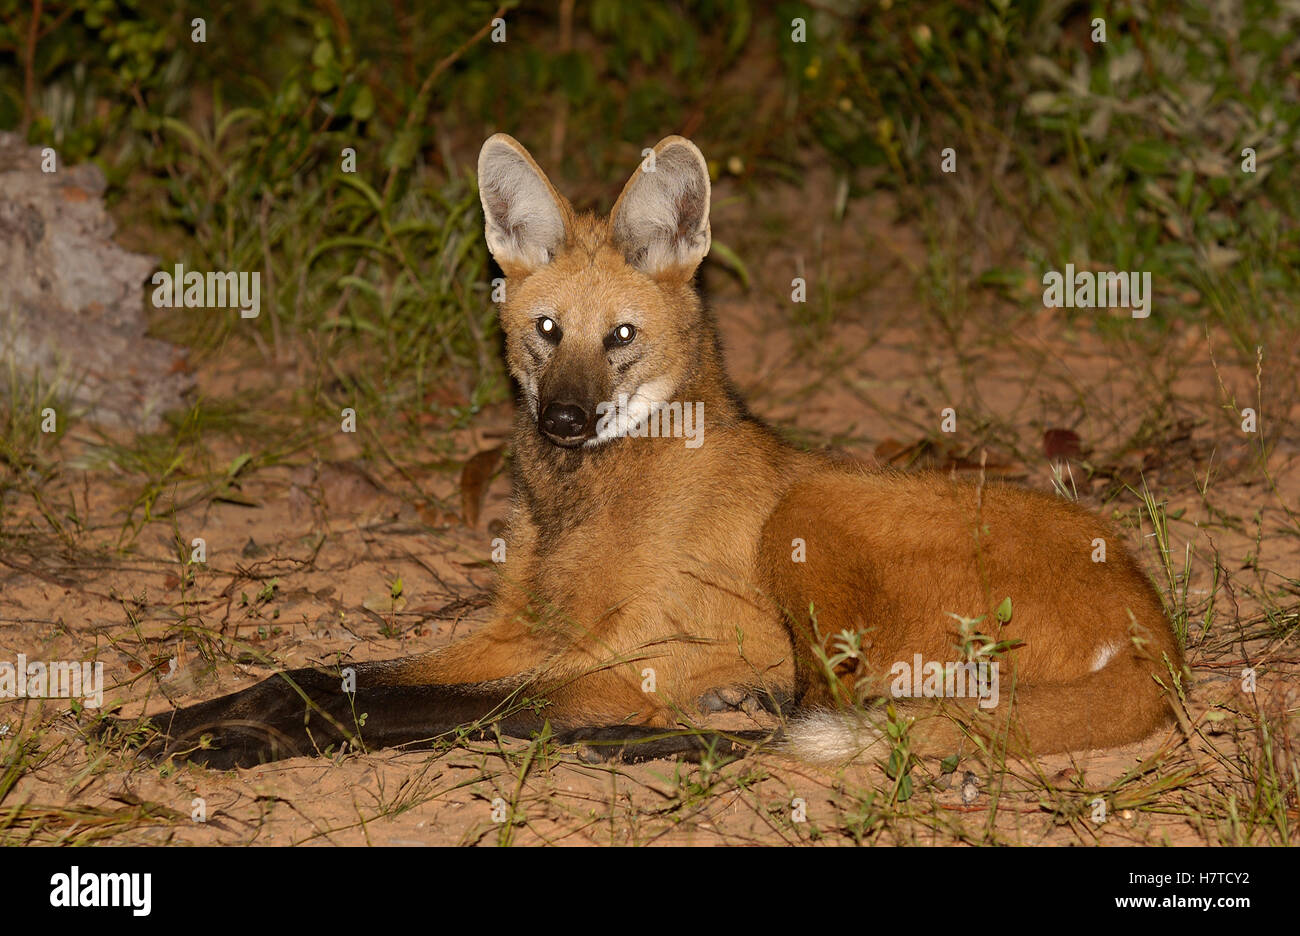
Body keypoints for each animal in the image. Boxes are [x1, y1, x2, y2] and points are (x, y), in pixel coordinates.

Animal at [116, 134, 1184, 770]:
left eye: (620, 337)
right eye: (546, 331)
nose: (563, 422)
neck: (589, 498)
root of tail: (1155, 634)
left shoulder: (630, 656)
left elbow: (430, 710)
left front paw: (232, 748)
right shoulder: (527, 630)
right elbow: (311, 676)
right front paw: (163, 724)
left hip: (814, 515)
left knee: (821, 724)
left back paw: (658, 738)